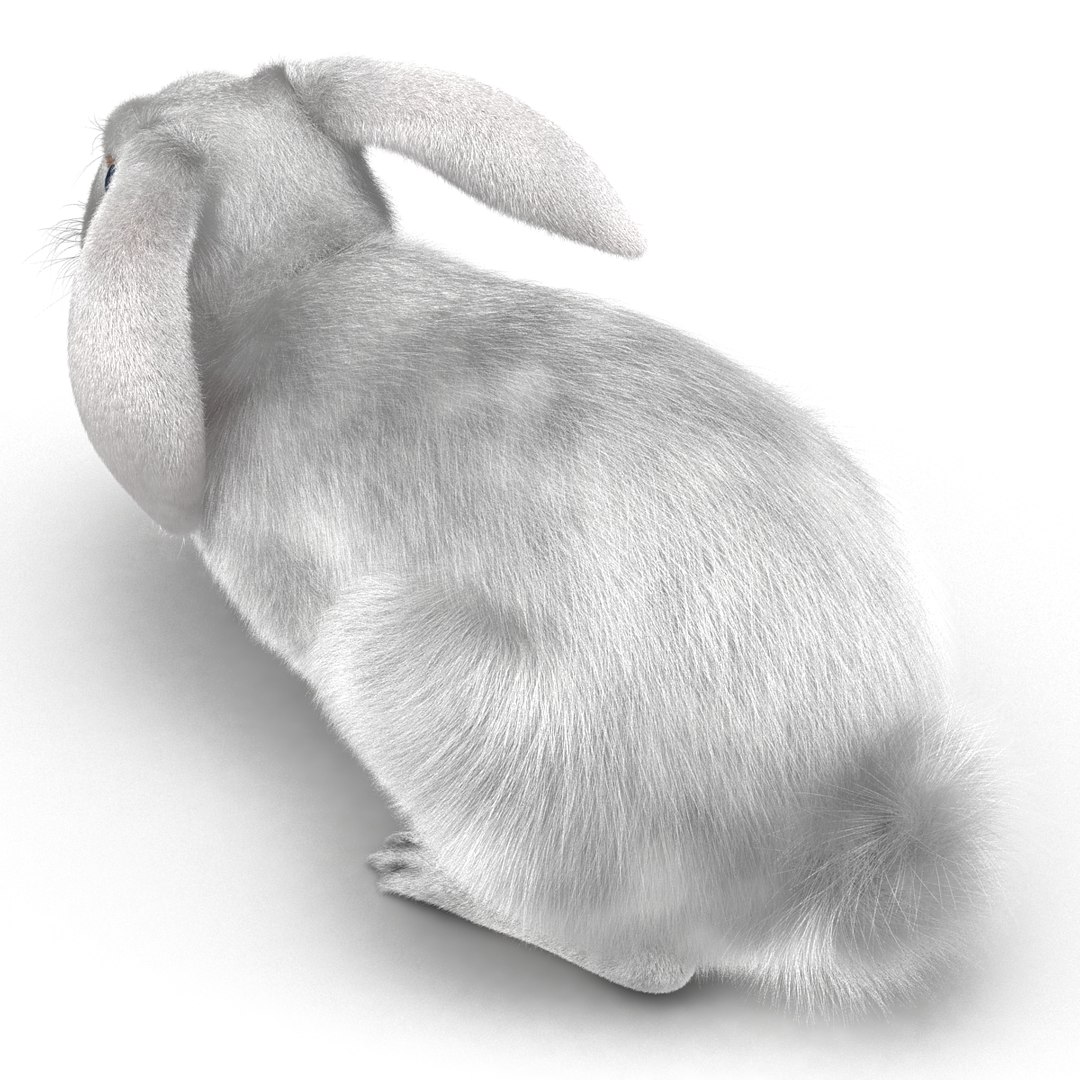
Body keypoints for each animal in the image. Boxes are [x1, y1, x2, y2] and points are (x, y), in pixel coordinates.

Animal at [67, 57, 994, 1014]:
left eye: (111, 170)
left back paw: (430, 876)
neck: (304, 273)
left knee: (649, 966)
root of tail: (841, 841)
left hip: (406, 679)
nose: (119, 113)